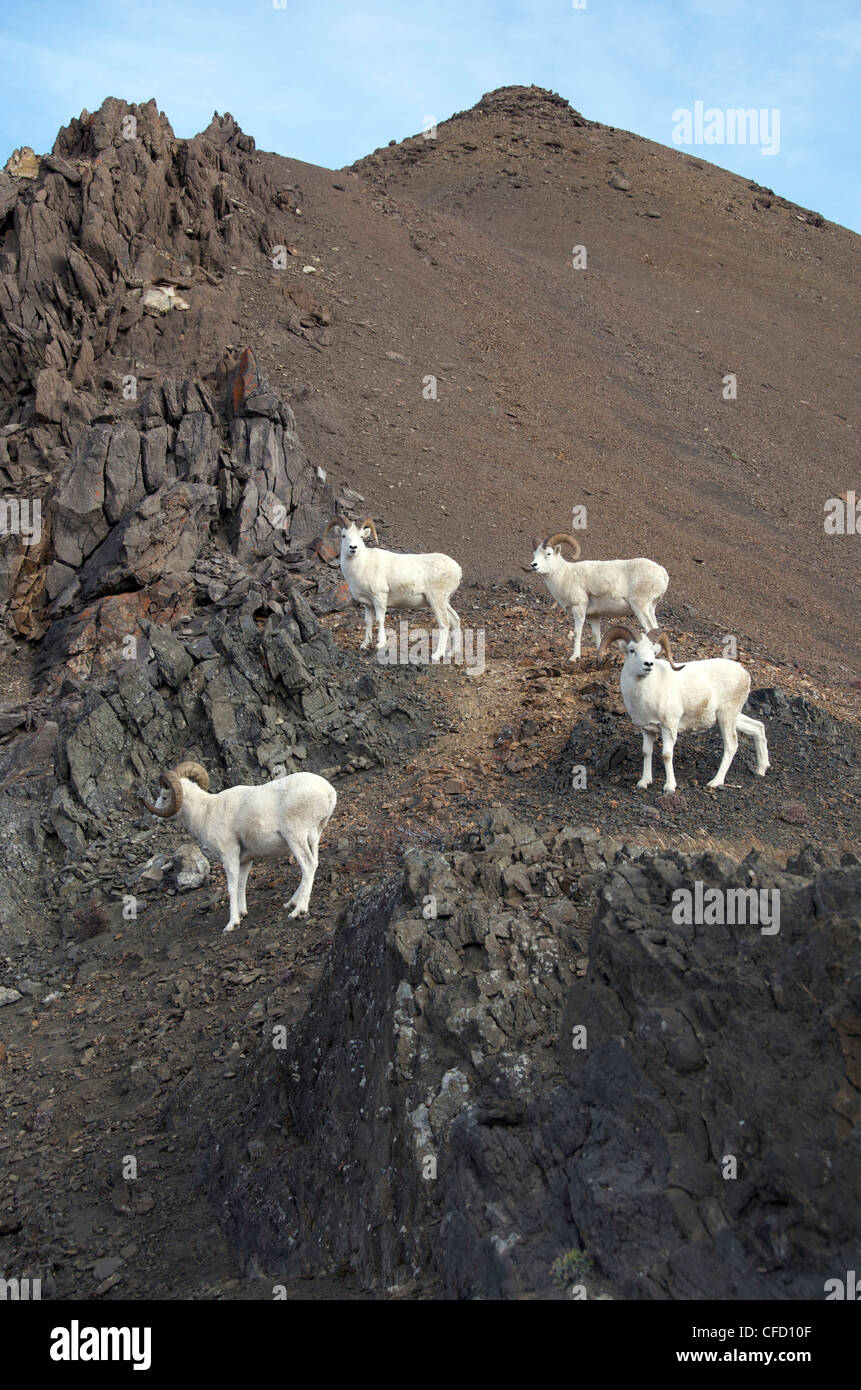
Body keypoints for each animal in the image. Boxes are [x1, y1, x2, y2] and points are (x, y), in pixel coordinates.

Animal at [141, 761, 336, 932]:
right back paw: (291, 903)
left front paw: (232, 924)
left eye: (164, 796)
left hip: (295, 837)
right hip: (313, 837)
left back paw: (298, 911)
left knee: (308, 866)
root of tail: (329, 792)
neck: (205, 811)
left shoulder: (229, 855)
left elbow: (232, 887)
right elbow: (242, 884)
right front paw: (242, 914)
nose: (155, 817)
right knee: (313, 865)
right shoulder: (245, 860)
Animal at [323, 515, 462, 662]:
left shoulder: (379, 597)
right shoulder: (368, 603)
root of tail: (457, 569)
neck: (362, 566)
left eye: (361, 537)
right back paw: (453, 653)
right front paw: (365, 645)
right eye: (344, 536)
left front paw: (380, 644)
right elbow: (368, 621)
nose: (353, 548)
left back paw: (437, 655)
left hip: (437, 601)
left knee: (444, 623)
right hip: (445, 602)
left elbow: (379, 620)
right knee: (455, 621)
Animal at [525, 532, 669, 661]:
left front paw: (574, 657)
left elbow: (577, 633)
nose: (533, 565)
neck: (565, 574)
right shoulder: (594, 616)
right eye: (534, 555)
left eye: (548, 554)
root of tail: (662, 572)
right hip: (650, 608)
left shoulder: (579, 609)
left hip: (640, 607)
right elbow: (597, 636)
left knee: (650, 629)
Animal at [595, 625, 770, 792]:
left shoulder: (669, 726)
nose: (648, 664)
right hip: (732, 717)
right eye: (632, 650)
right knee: (758, 727)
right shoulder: (647, 729)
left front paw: (669, 787)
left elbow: (666, 755)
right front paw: (644, 783)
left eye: (654, 652)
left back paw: (715, 782)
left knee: (731, 745)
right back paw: (761, 770)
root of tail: (745, 674)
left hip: (726, 716)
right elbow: (646, 752)